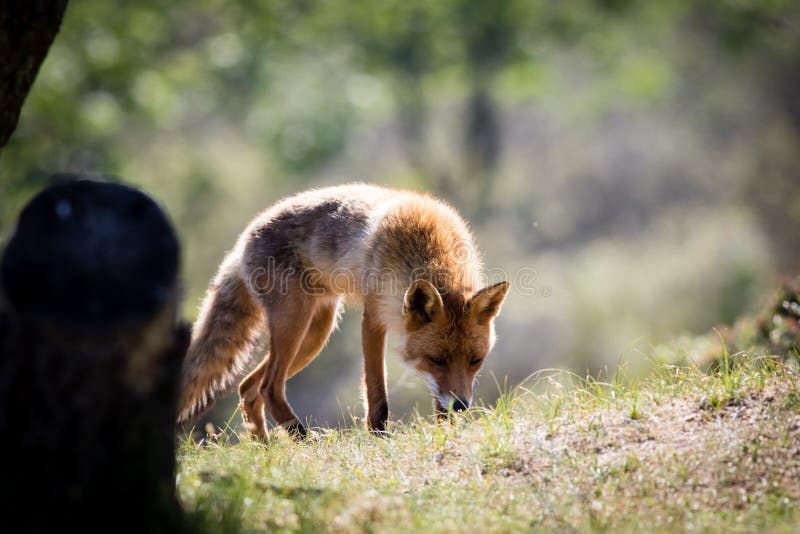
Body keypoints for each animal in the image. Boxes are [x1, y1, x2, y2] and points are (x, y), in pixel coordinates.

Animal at [177, 183, 510, 437]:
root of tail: (242, 241)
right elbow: (377, 394)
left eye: (475, 361)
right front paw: (378, 438)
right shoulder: (373, 319)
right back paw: (300, 437)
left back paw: (266, 449)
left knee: (249, 388)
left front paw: (444, 430)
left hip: (315, 333)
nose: (461, 406)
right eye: (436, 359)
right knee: (269, 387)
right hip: (294, 324)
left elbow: (435, 398)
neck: (425, 244)